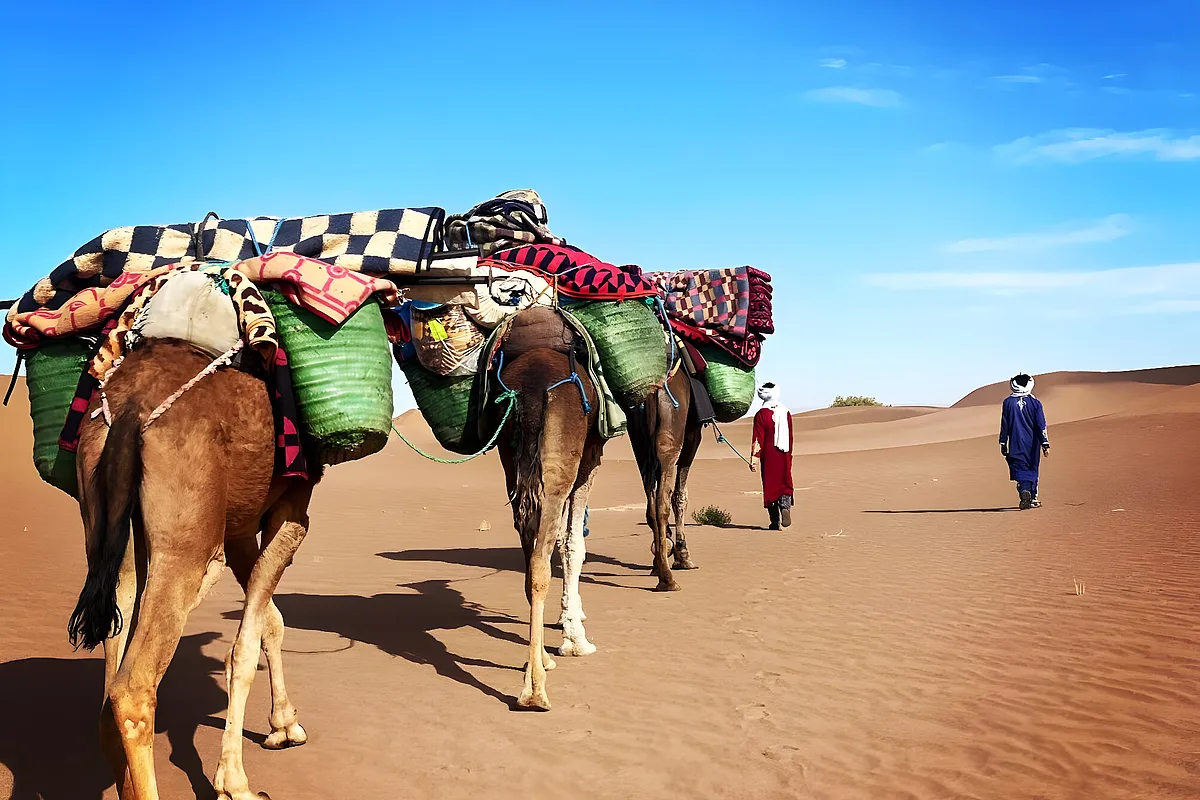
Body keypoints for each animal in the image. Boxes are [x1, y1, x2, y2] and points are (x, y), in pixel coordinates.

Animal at [70, 338, 317, 800]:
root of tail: (131, 407)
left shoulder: (239, 529)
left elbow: (270, 621)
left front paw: (284, 725)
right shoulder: (292, 508)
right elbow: (245, 646)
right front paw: (235, 782)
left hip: (104, 524)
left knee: (108, 692)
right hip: (186, 539)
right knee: (132, 691)